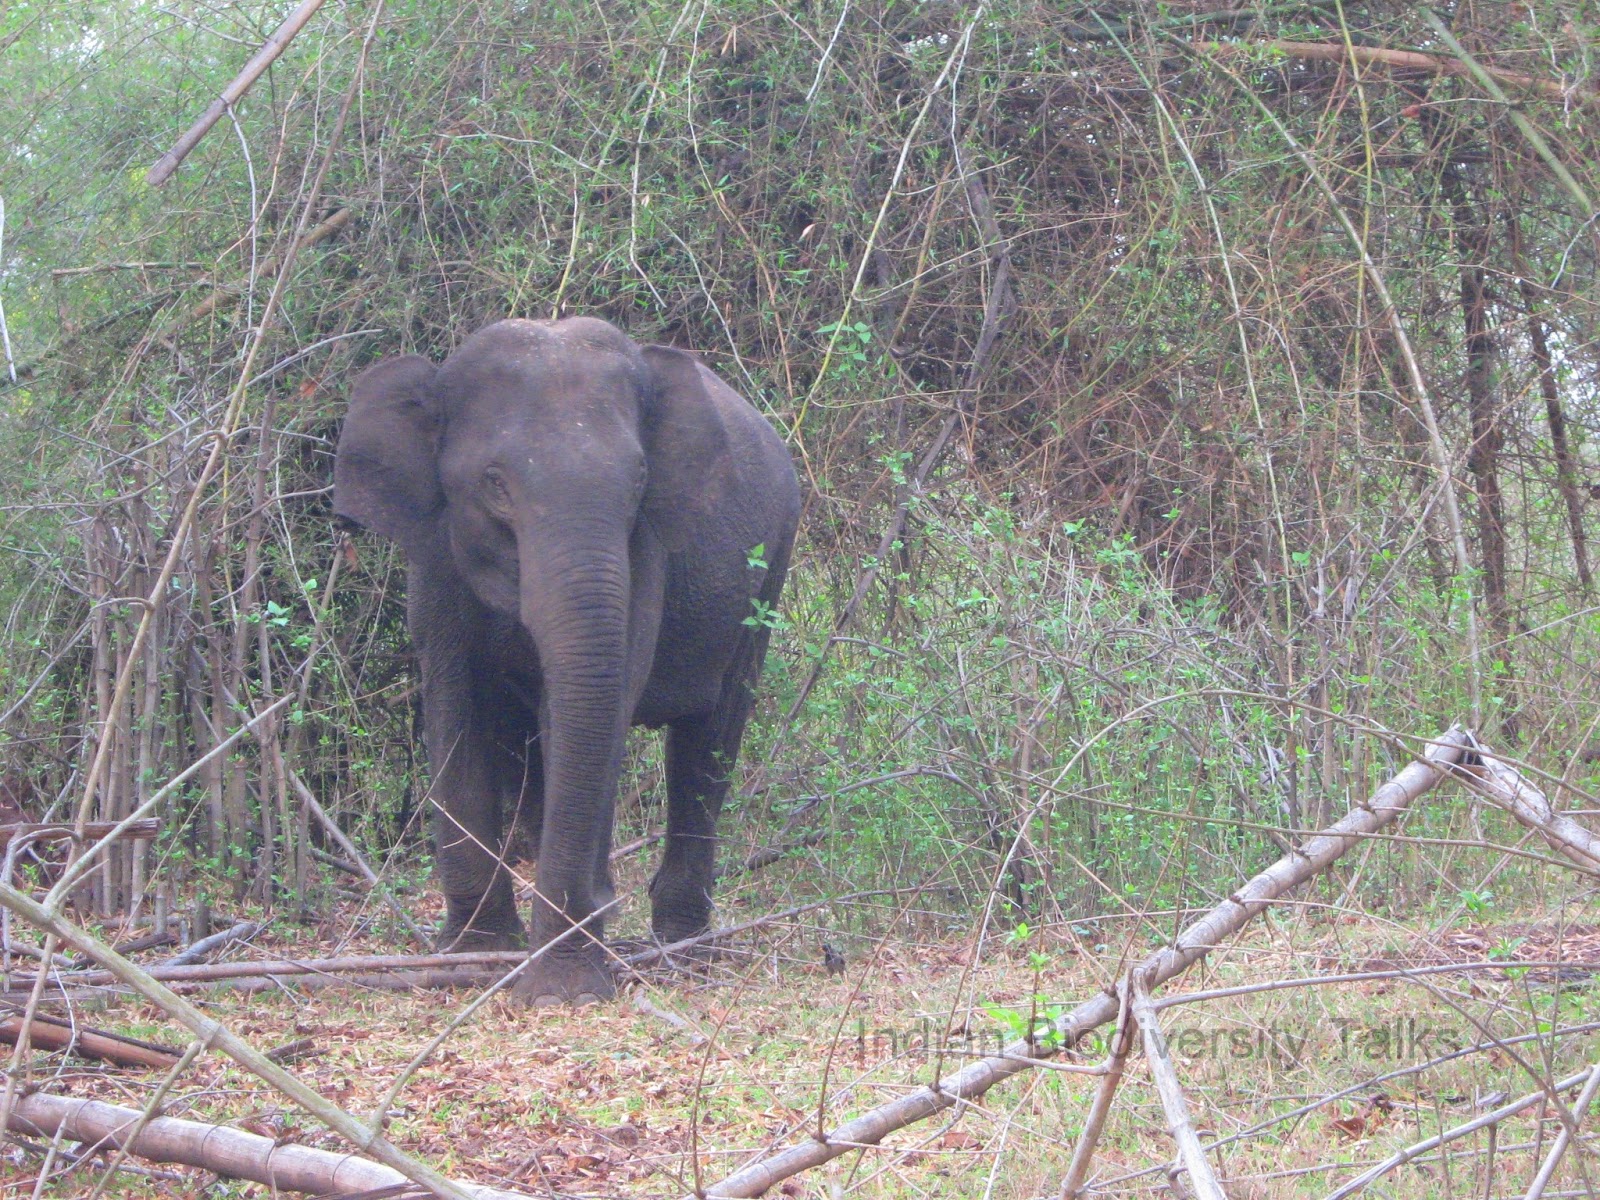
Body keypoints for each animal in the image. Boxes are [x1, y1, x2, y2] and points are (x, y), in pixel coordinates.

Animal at [333, 316, 800, 1005]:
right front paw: (474, 953)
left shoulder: (645, 552)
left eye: (639, 479)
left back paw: (682, 947)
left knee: (708, 743)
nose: (605, 900)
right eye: (495, 483)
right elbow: (456, 705)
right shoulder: (437, 557)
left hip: (770, 571)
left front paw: (563, 987)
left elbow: (593, 707)